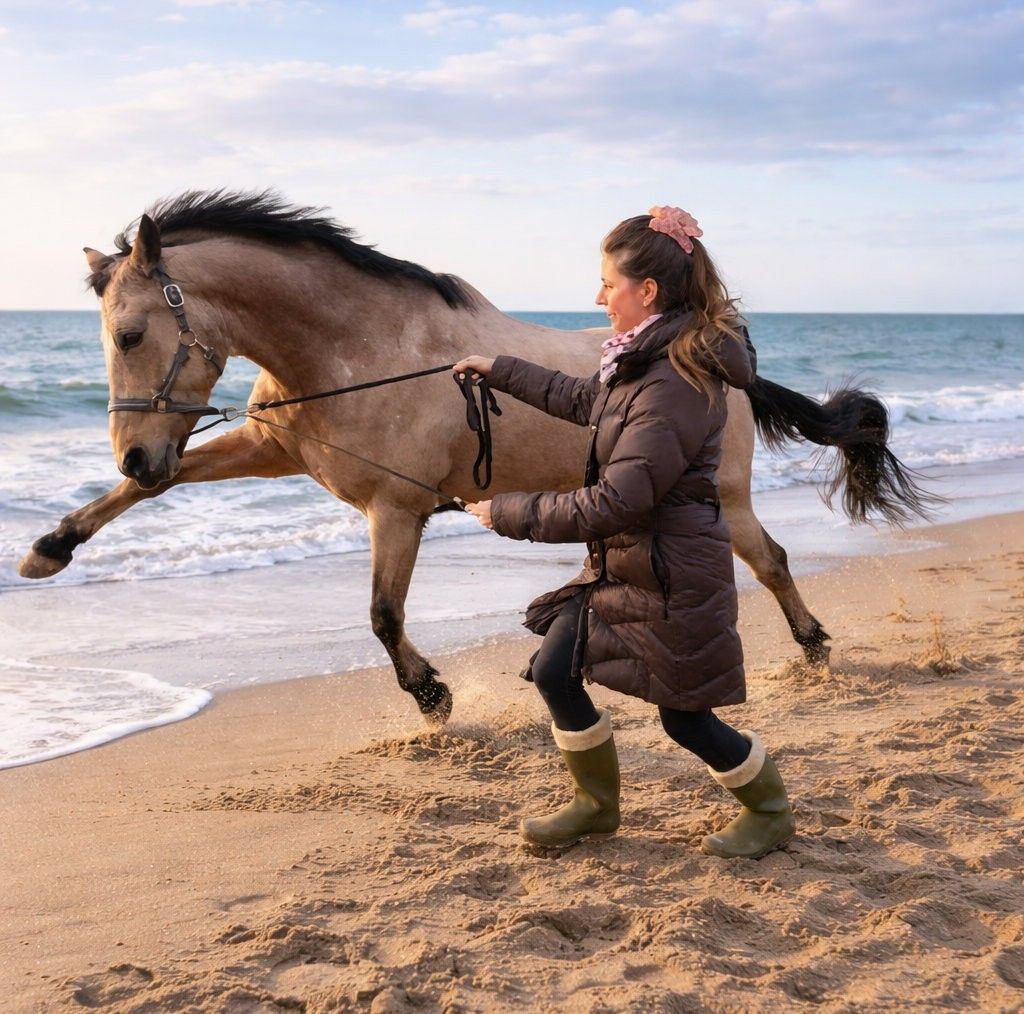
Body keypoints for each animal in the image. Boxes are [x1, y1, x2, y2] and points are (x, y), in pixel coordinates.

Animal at [18, 190, 931, 724]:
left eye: (129, 335)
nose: (136, 452)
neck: (355, 348)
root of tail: (719, 362)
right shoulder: (274, 451)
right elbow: (142, 498)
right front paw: (48, 548)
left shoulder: (397, 510)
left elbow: (383, 615)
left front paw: (431, 694)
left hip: (727, 500)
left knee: (771, 560)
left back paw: (815, 649)